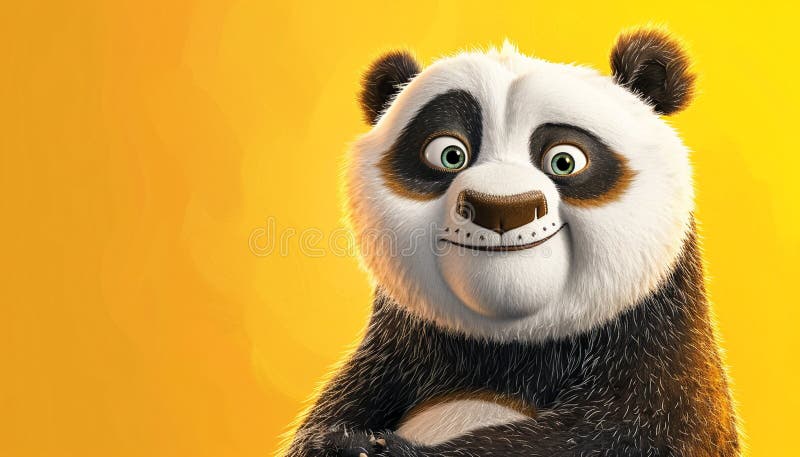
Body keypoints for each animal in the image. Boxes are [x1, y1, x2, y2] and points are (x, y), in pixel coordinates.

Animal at [284, 28, 739, 456]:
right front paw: (346, 443)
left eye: (565, 160)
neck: (514, 342)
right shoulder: (390, 358)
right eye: (449, 154)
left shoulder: (663, 354)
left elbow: (621, 435)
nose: (502, 208)